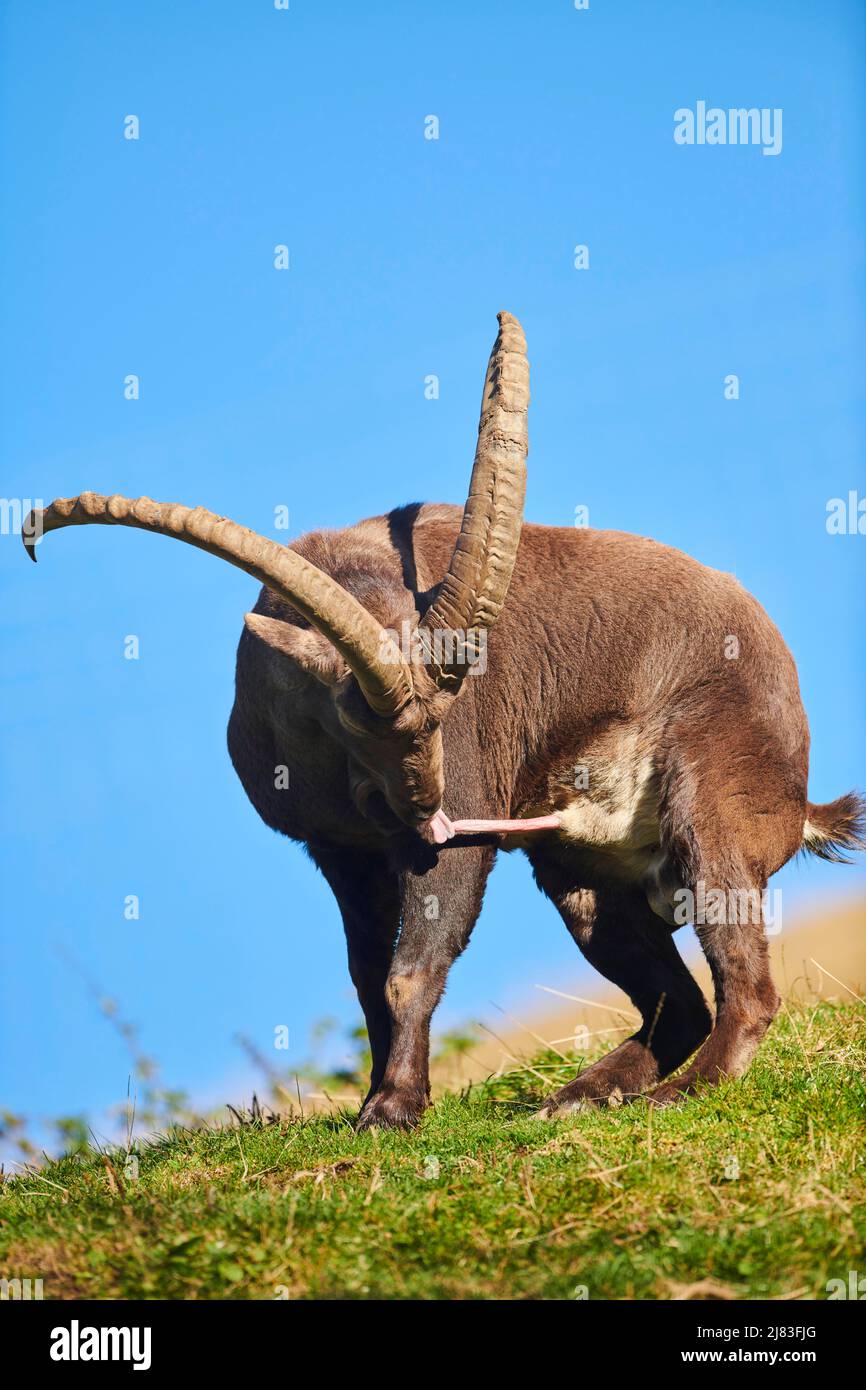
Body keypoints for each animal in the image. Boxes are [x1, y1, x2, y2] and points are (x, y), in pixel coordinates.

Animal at [24, 312, 865, 1129]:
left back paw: (672, 1095)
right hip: (580, 873)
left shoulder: (458, 831)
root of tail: (802, 800)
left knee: (745, 989)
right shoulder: (341, 850)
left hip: (711, 807)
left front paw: (393, 1110)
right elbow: (366, 977)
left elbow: (410, 970)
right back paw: (576, 1097)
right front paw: (378, 1096)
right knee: (675, 1000)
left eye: (442, 721)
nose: (431, 812)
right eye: (353, 720)